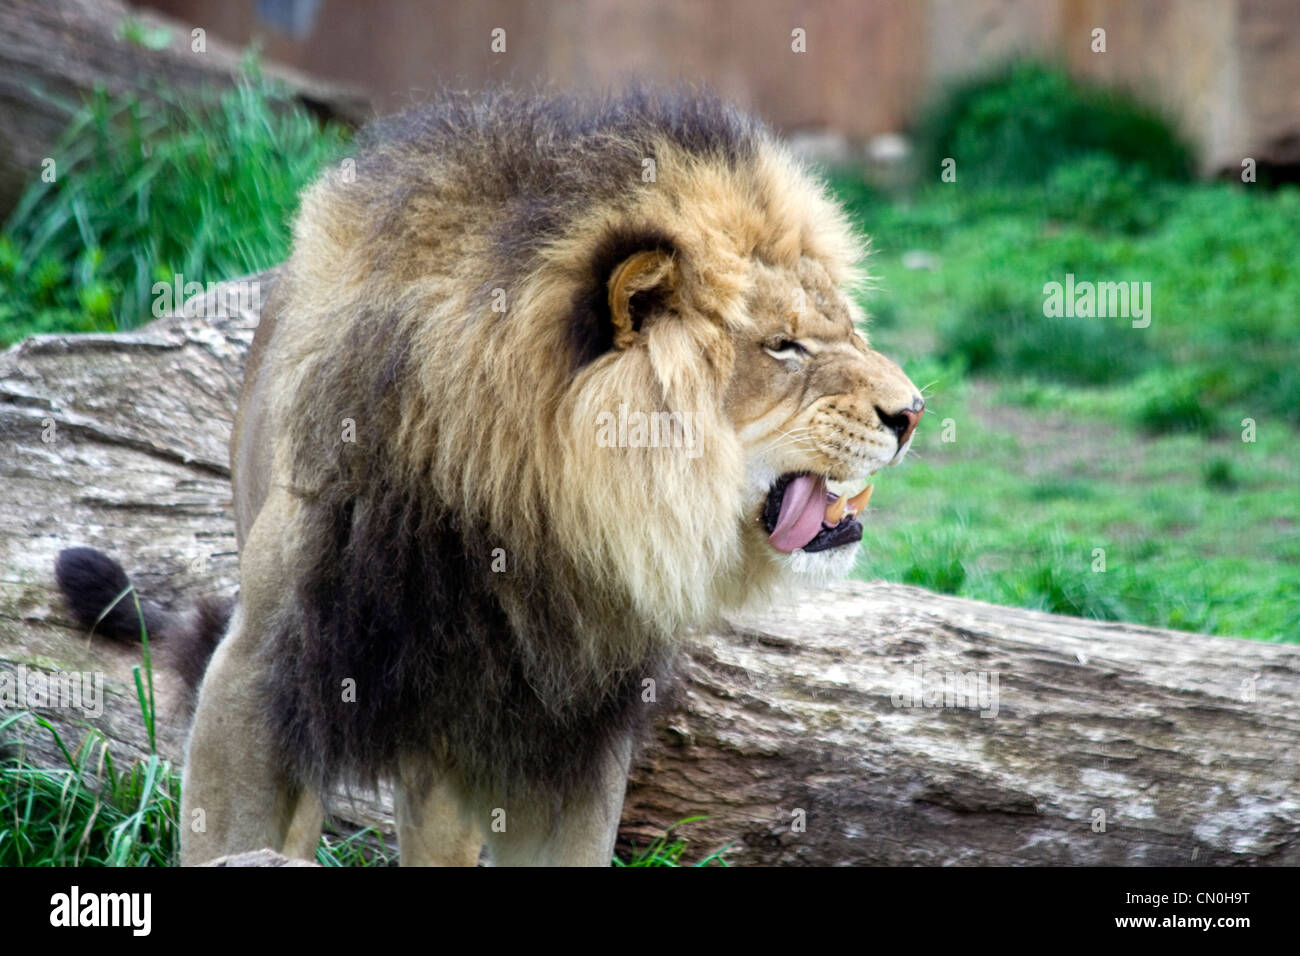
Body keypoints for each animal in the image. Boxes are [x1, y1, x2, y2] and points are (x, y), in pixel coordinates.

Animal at [55, 87, 923, 866]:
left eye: (846, 329)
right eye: (783, 346)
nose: (913, 412)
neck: (519, 509)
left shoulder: (570, 733)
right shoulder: (266, 666)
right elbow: (231, 835)